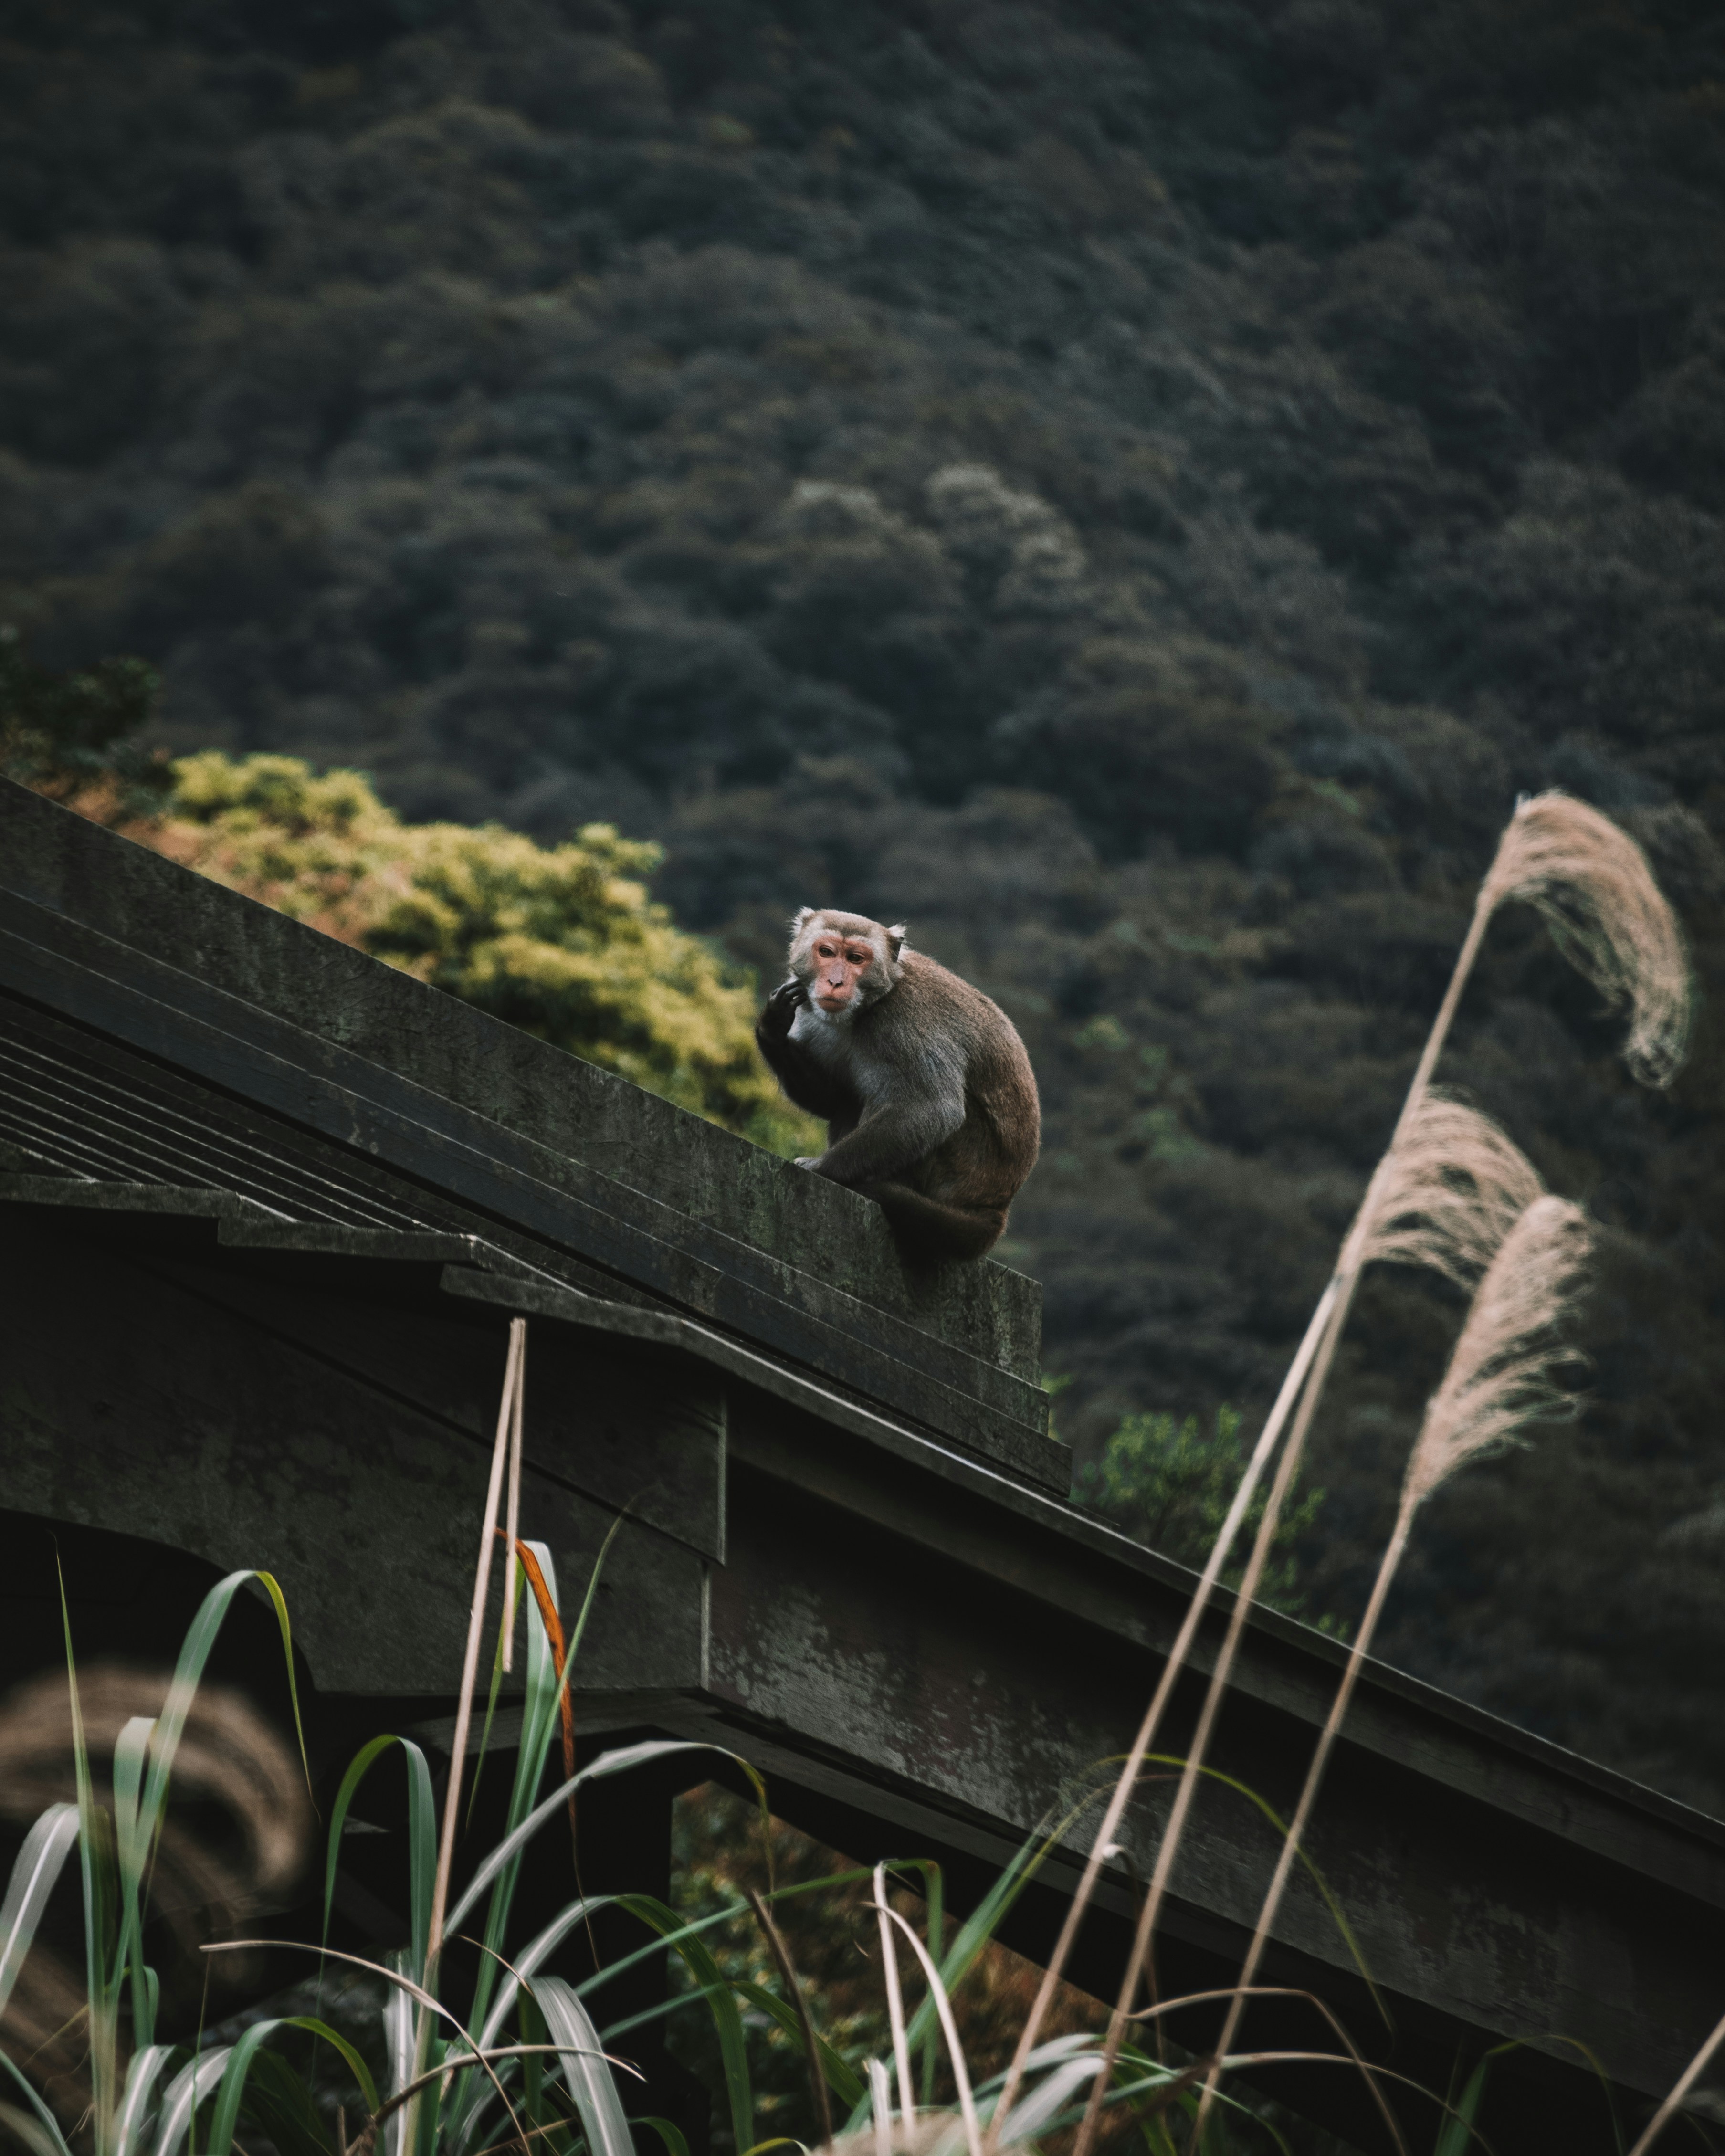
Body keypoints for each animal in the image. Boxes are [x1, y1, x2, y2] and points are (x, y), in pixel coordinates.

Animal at [754, 907, 1040, 1264]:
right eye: (827, 952)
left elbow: (931, 1108)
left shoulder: (906, 1023)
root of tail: (995, 1207)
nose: (835, 982)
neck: (871, 1004)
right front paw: (772, 1027)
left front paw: (822, 1167)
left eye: (856, 958)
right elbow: (832, 1099)